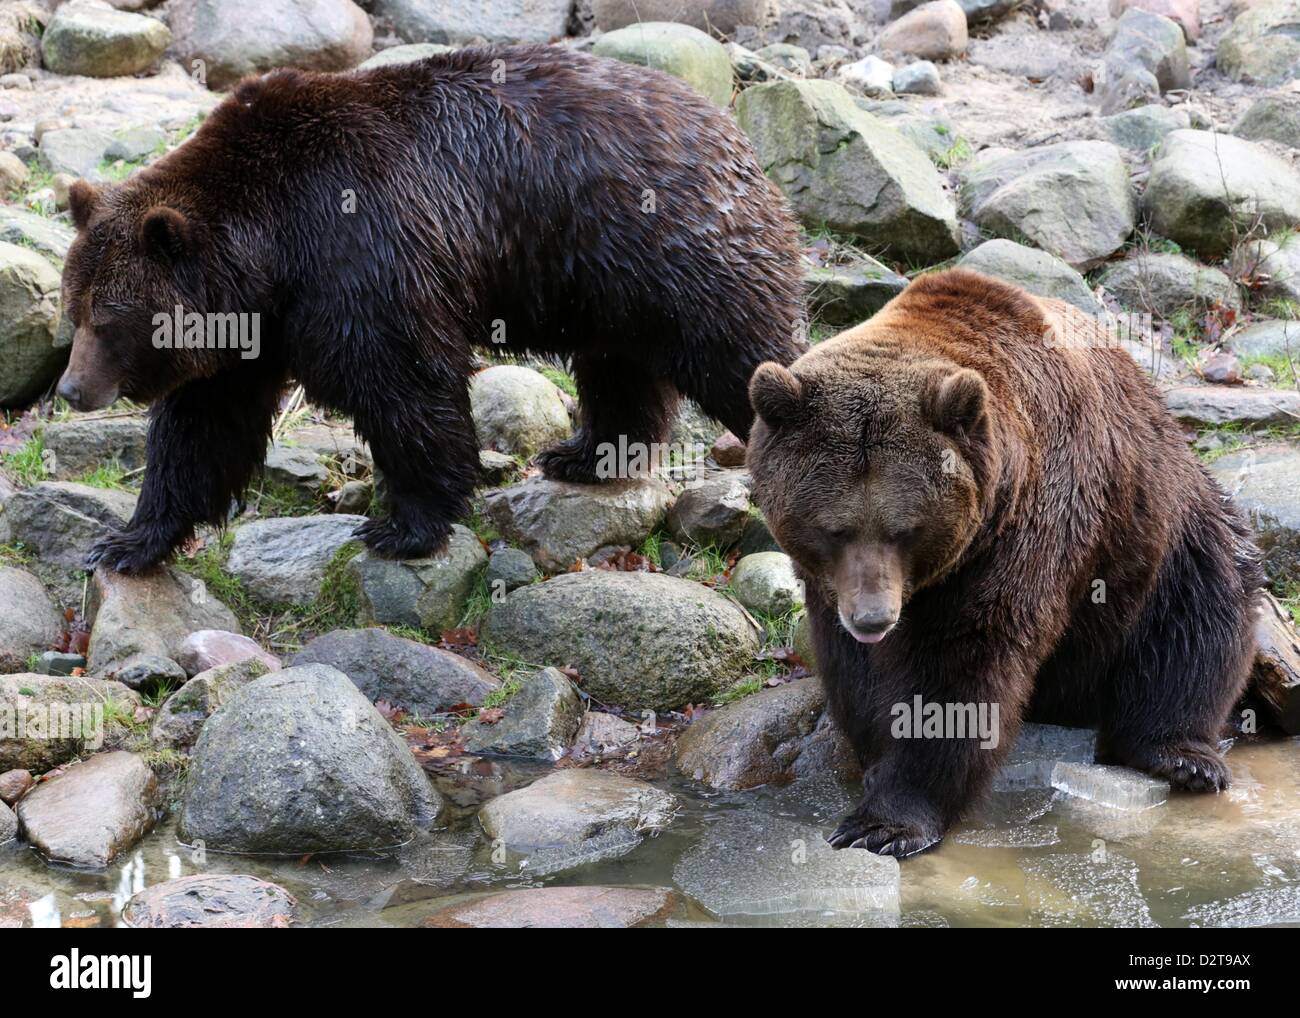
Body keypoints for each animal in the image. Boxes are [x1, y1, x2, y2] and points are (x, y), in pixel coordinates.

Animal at [56, 44, 804, 574]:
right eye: (74, 311)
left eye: (110, 322)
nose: (69, 389)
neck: (272, 245)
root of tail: (732, 128)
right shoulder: (251, 328)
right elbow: (201, 429)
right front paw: (125, 542)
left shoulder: (363, 250)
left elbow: (403, 383)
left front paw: (401, 526)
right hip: (607, 279)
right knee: (620, 367)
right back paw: (586, 454)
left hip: (667, 245)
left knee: (741, 351)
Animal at [746, 268, 1263, 858]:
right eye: (833, 529)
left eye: (905, 529)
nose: (873, 618)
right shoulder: (833, 586)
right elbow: (852, 669)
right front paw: (874, 763)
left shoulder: (1026, 529)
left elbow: (963, 664)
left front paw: (887, 821)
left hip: (1157, 522)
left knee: (1202, 604)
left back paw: (1182, 755)